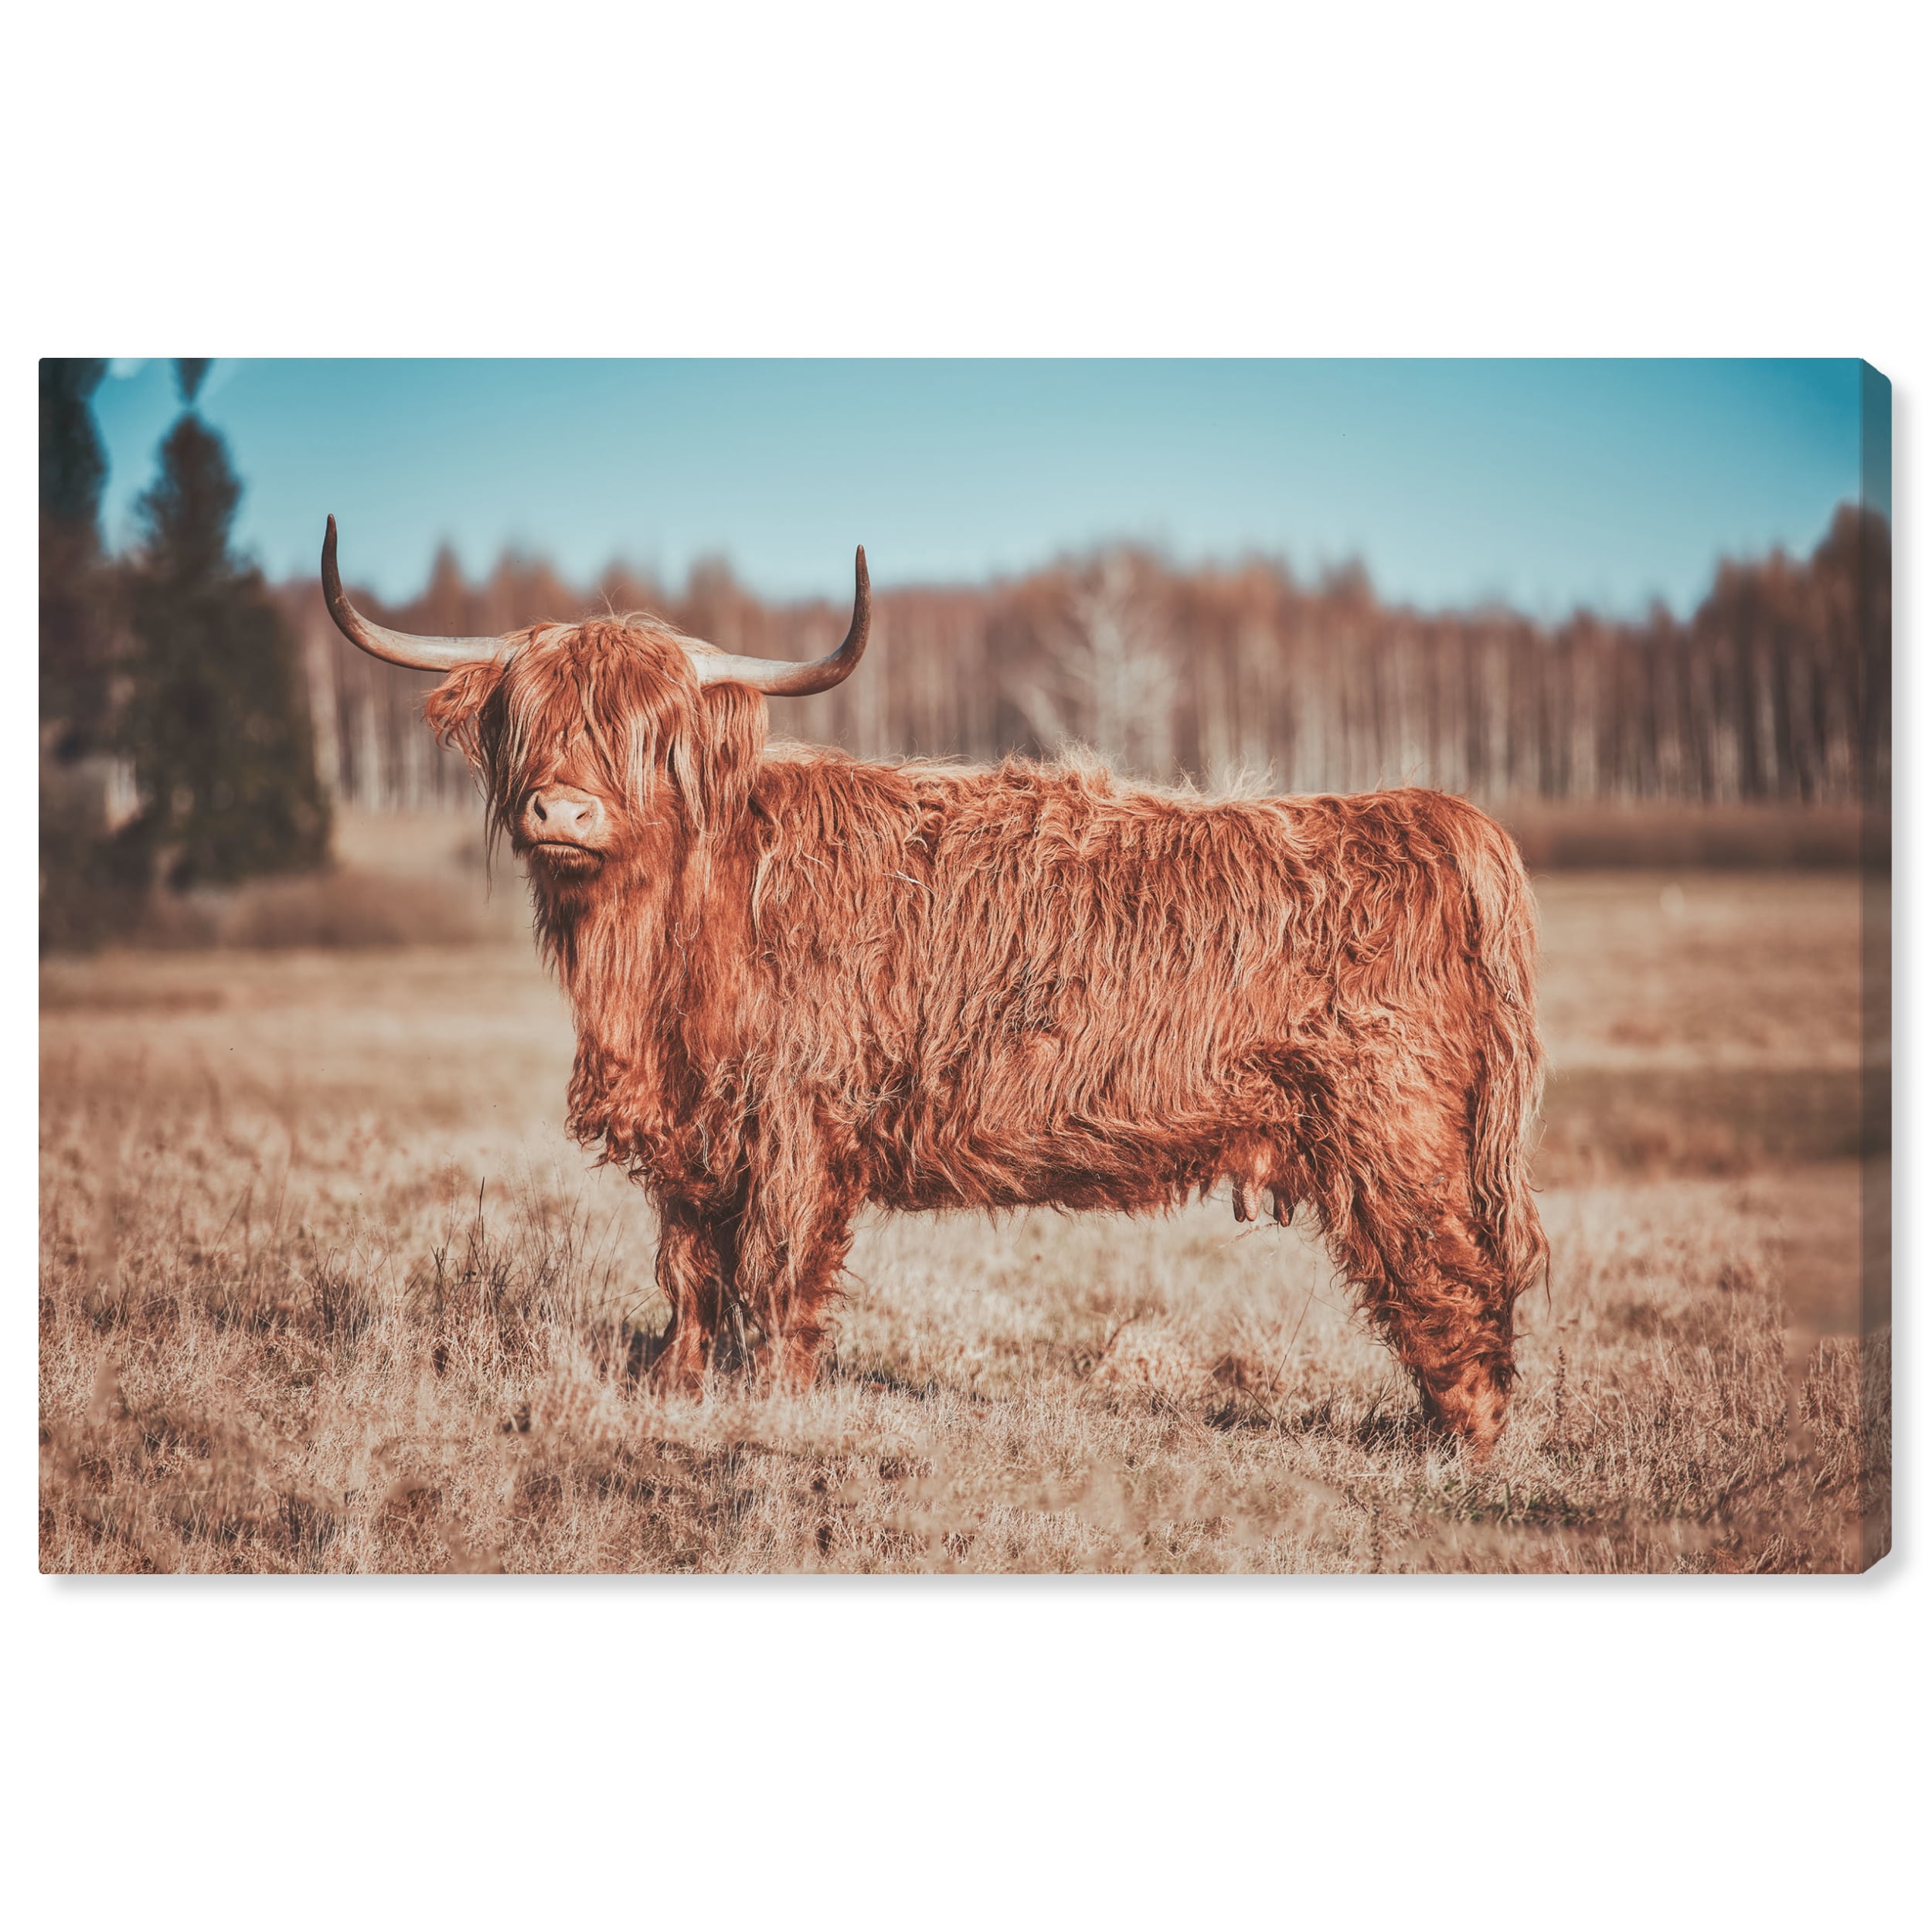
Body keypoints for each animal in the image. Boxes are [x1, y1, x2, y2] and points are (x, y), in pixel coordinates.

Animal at [323, 518, 1547, 1455]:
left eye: (648, 734)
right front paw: (675, 1386)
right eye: (527, 719)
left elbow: (777, 1274)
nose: (563, 809)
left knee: (1449, 1274)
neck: (661, 950)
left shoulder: (798, 1122)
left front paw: (774, 1406)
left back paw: (1461, 1445)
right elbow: (688, 1269)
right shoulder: (691, 1128)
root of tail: (1429, 817)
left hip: (1397, 1129)